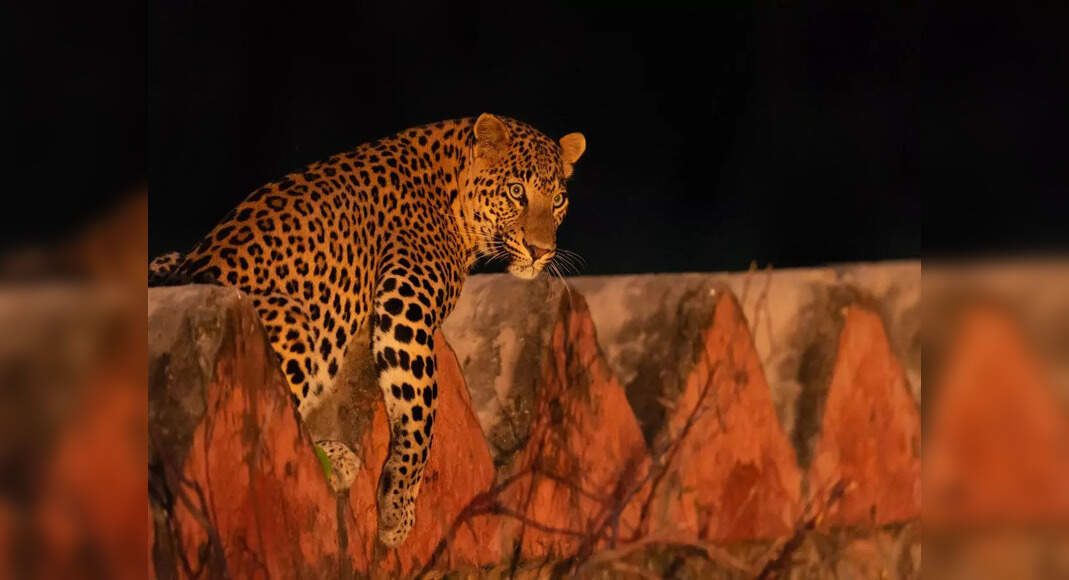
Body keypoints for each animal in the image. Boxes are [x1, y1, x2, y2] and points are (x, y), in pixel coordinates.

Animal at [150, 114, 585, 547]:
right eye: (516, 191)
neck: (451, 190)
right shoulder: (405, 304)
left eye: (558, 200)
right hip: (290, 318)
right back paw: (335, 458)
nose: (541, 251)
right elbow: (422, 411)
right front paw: (398, 507)